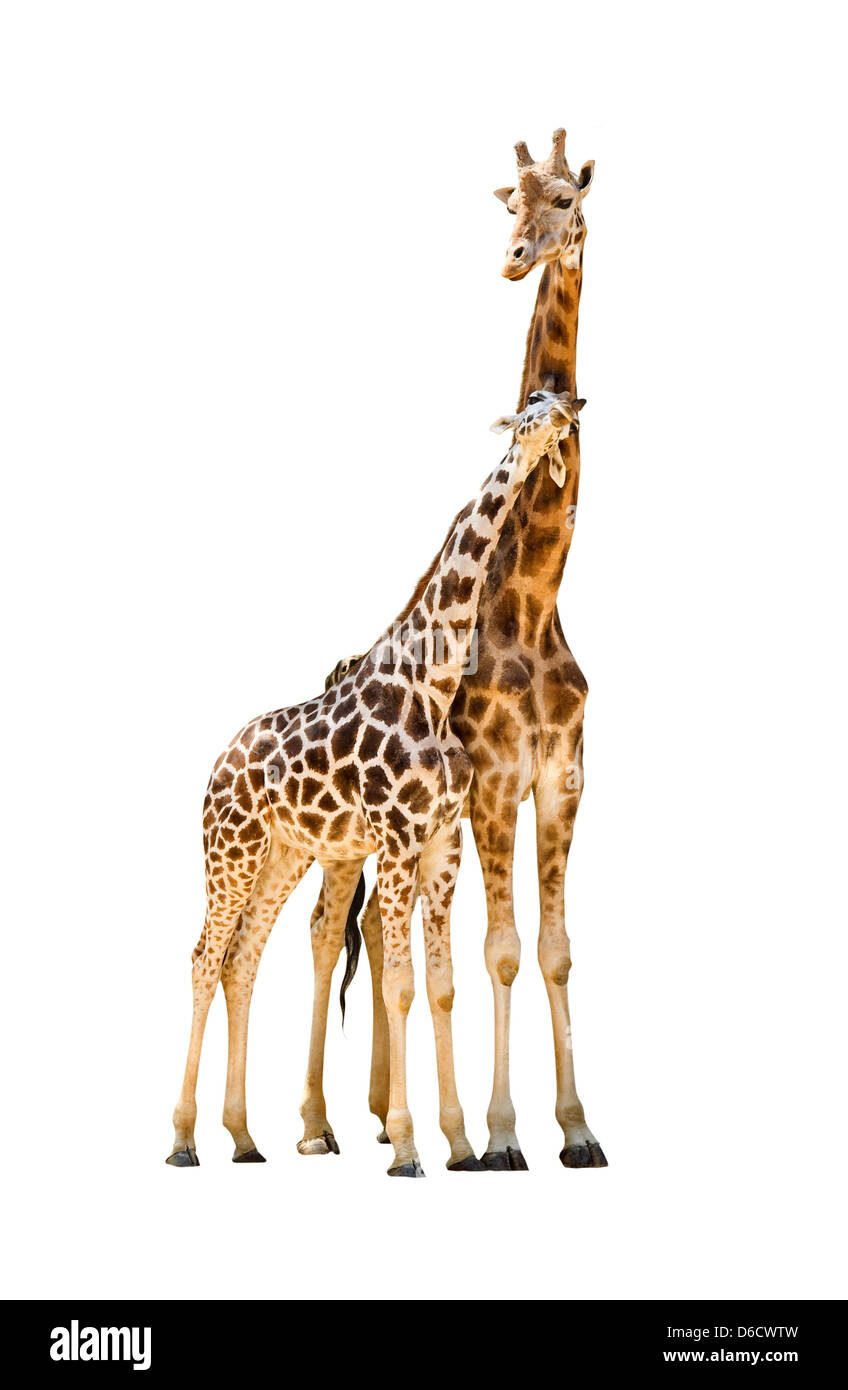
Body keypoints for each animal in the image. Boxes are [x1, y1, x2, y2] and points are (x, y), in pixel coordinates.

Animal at [167, 387, 583, 1176]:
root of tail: (216, 764)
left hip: (285, 852)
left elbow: (437, 983)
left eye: (552, 410)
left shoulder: (441, 841)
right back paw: (182, 1140)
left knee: (244, 958)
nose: (565, 413)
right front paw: (410, 1149)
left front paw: (460, 1145)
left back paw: (243, 1137)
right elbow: (398, 983)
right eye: (527, 415)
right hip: (229, 851)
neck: (433, 680)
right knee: (205, 956)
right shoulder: (396, 840)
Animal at [331, 129, 606, 1171]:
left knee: (390, 933)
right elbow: (501, 951)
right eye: (508, 203)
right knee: (369, 933)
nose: (516, 258)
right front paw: (498, 1134)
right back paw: (375, 1120)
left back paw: (384, 1115)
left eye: (566, 200)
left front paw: (577, 1127)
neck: (535, 592)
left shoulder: (564, 776)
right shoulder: (493, 781)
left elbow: (556, 949)